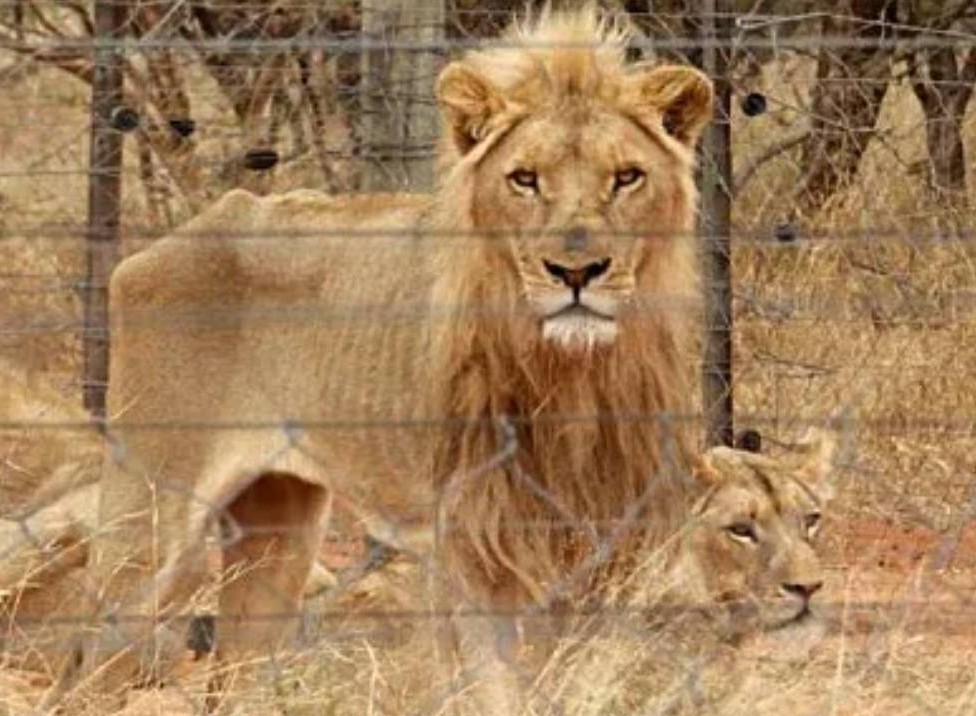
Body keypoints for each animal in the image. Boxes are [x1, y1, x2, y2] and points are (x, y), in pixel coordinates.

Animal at [57, 5, 716, 713]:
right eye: (524, 179)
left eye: (627, 177)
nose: (575, 271)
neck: (573, 378)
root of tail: (182, 233)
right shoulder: (470, 547)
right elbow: (494, 687)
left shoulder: (609, 545)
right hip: (151, 522)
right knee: (88, 668)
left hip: (277, 531)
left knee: (234, 672)